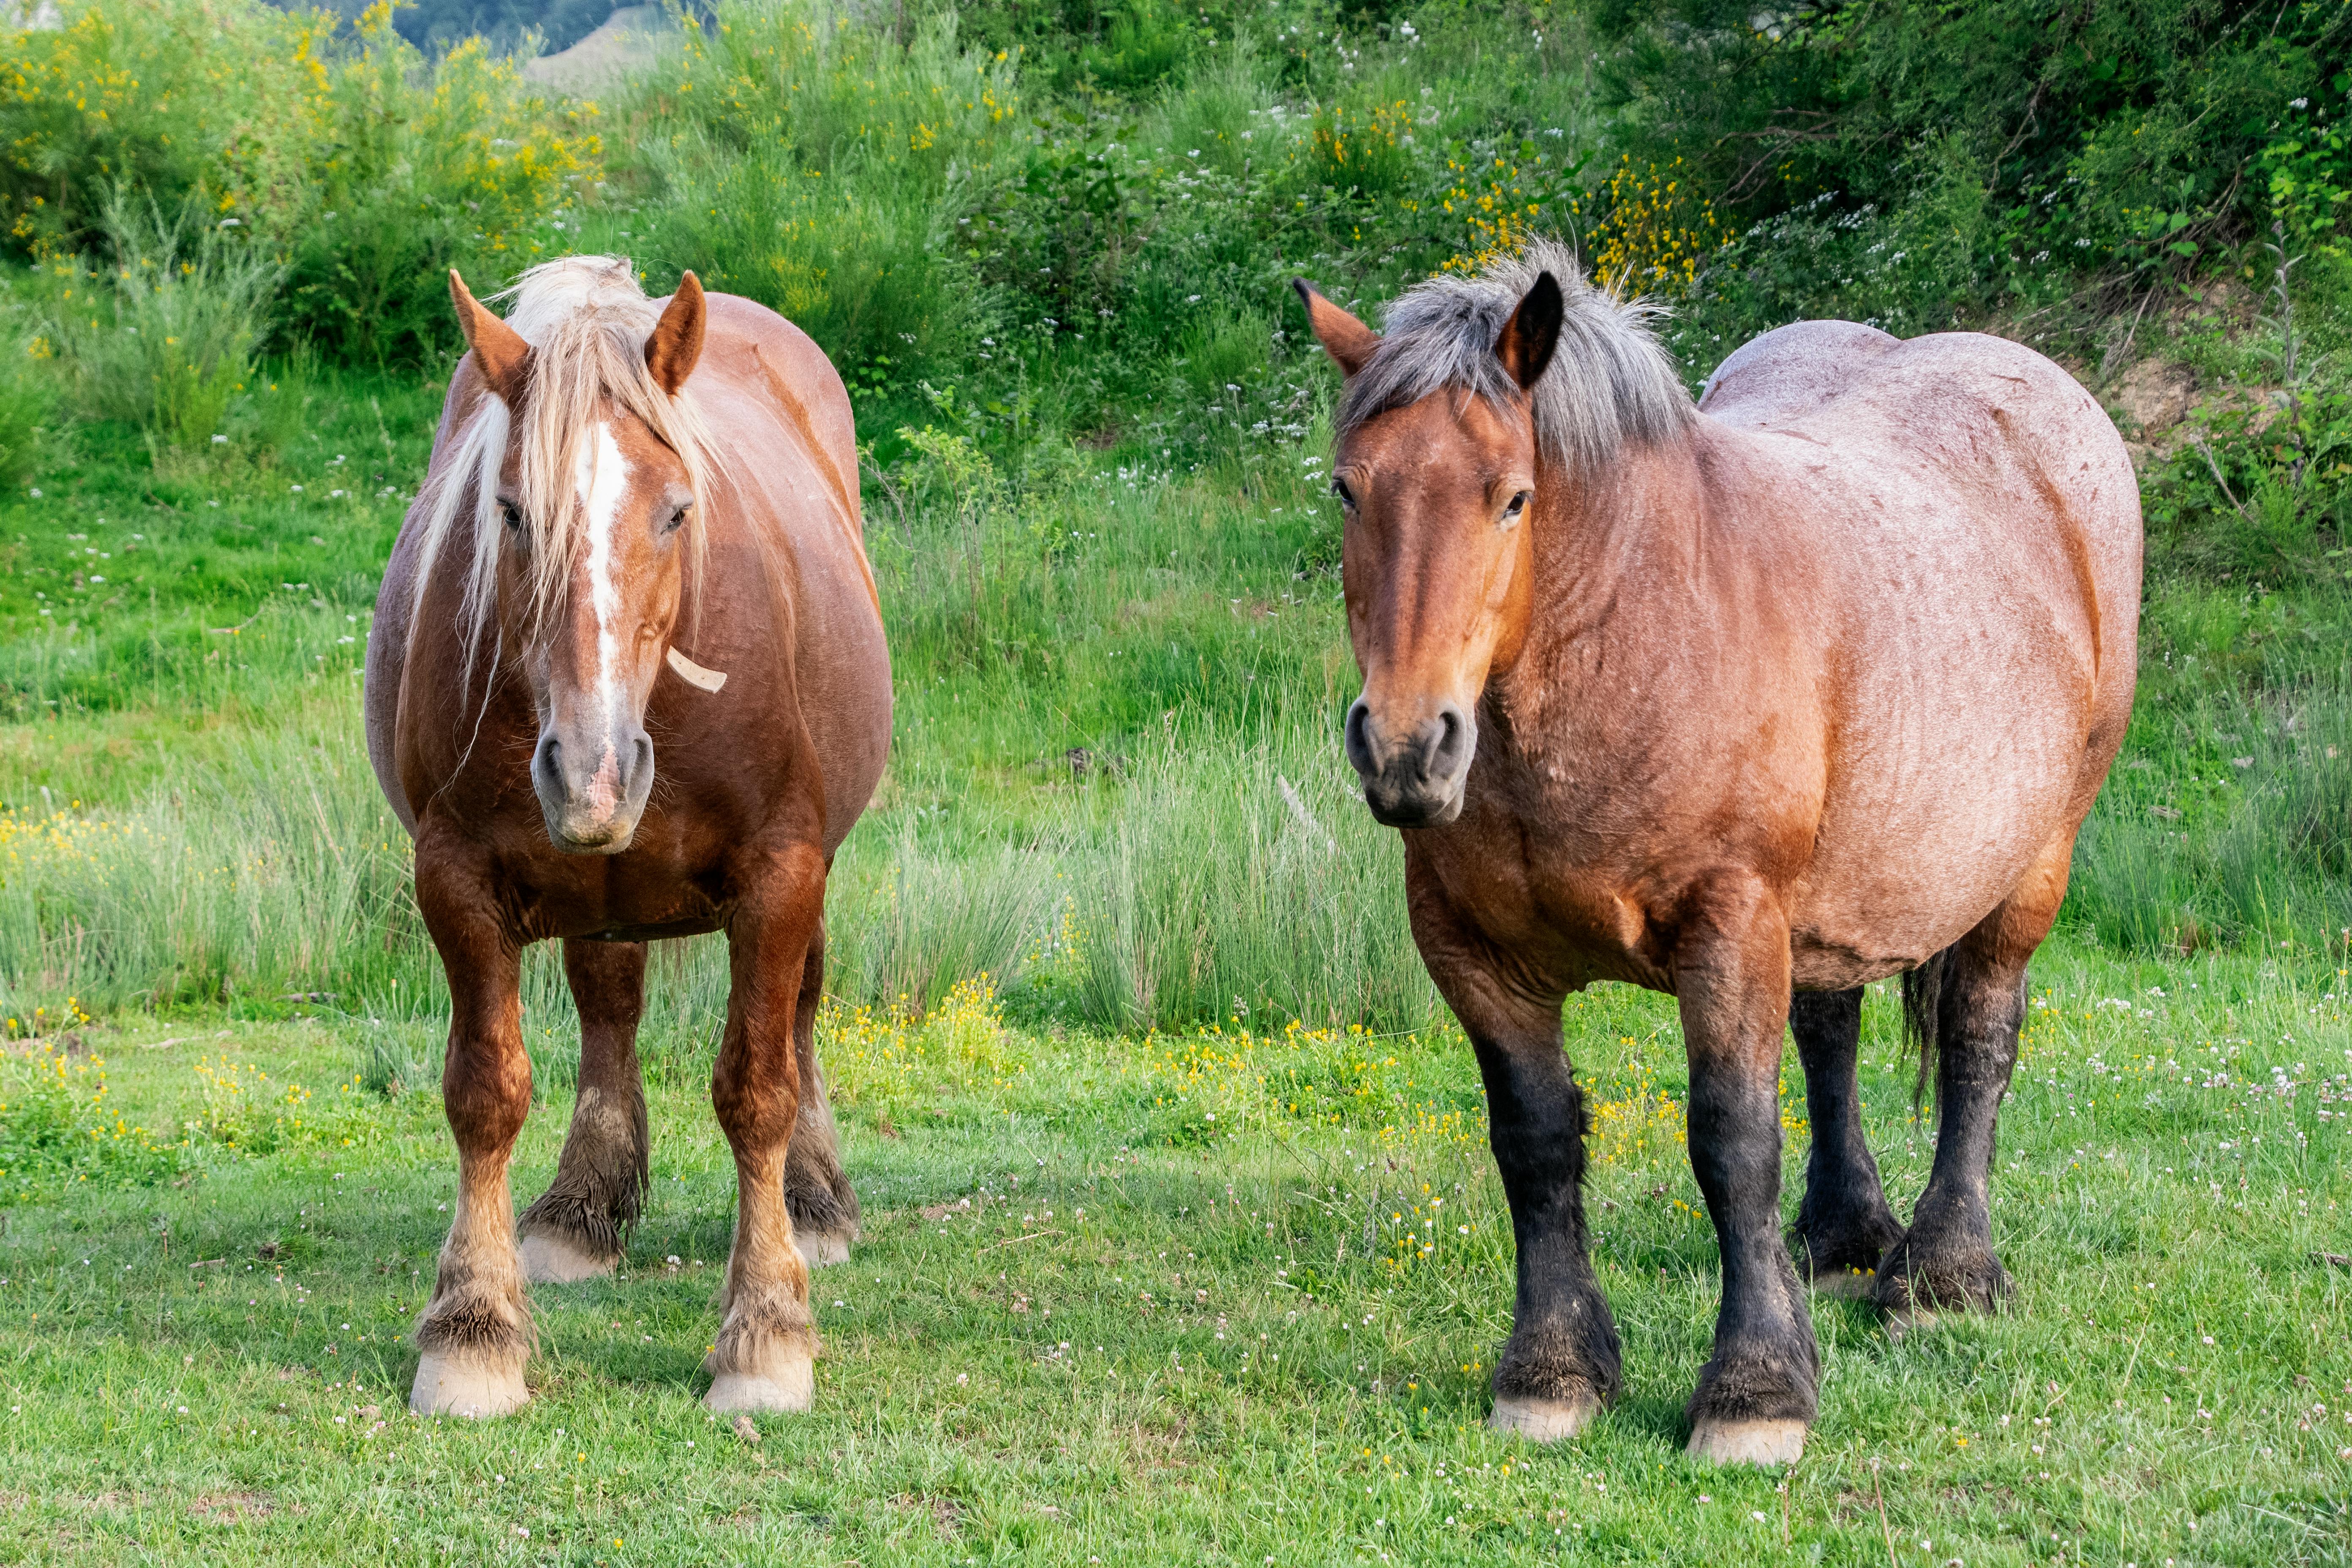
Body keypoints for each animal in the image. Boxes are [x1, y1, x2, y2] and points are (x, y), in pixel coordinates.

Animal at [363, 255, 891, 1417]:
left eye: (677, 511)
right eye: (511, 510)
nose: (591, 767)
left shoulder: (783, 874)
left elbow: (756, 1089)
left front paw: (765, 1332)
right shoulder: (454, 878)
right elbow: (486, 1092)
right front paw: (473, 1331)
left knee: (801, 1010)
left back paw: (817, 1202)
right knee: (609, 1007)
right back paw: (583, 1206)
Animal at [1294, 240, 2140, 1465]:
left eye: (1513, 497)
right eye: (1347, 489)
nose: (1407, 745)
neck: (1635, 635)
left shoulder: (1730, 925)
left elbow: (1732, 1141)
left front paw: (1755, 1391)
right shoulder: (1473, 953)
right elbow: (1536, 1143)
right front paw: (1551, 1374)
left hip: (2032, 866)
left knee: (1981, 1038)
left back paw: (1944, 1273)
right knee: (1831, 1034)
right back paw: (1841, 1234)